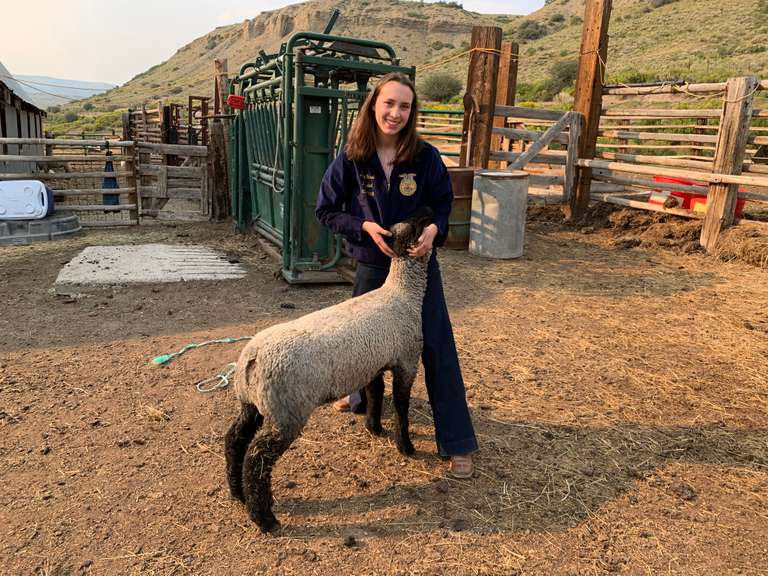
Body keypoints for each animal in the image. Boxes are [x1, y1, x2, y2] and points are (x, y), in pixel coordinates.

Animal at [224, 208, 434, 532]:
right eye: (415, 225)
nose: (431, 212)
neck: (403, 293)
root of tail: (253, 357)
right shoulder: (407, 360)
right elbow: (401, 406)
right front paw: (406, 446)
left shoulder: (372, 363)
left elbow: (375, 392)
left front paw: (374, 428)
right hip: (287, 411)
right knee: (257, 457)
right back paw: (265, 518)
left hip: (253, 404)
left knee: (235, 440)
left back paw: (237, 493)